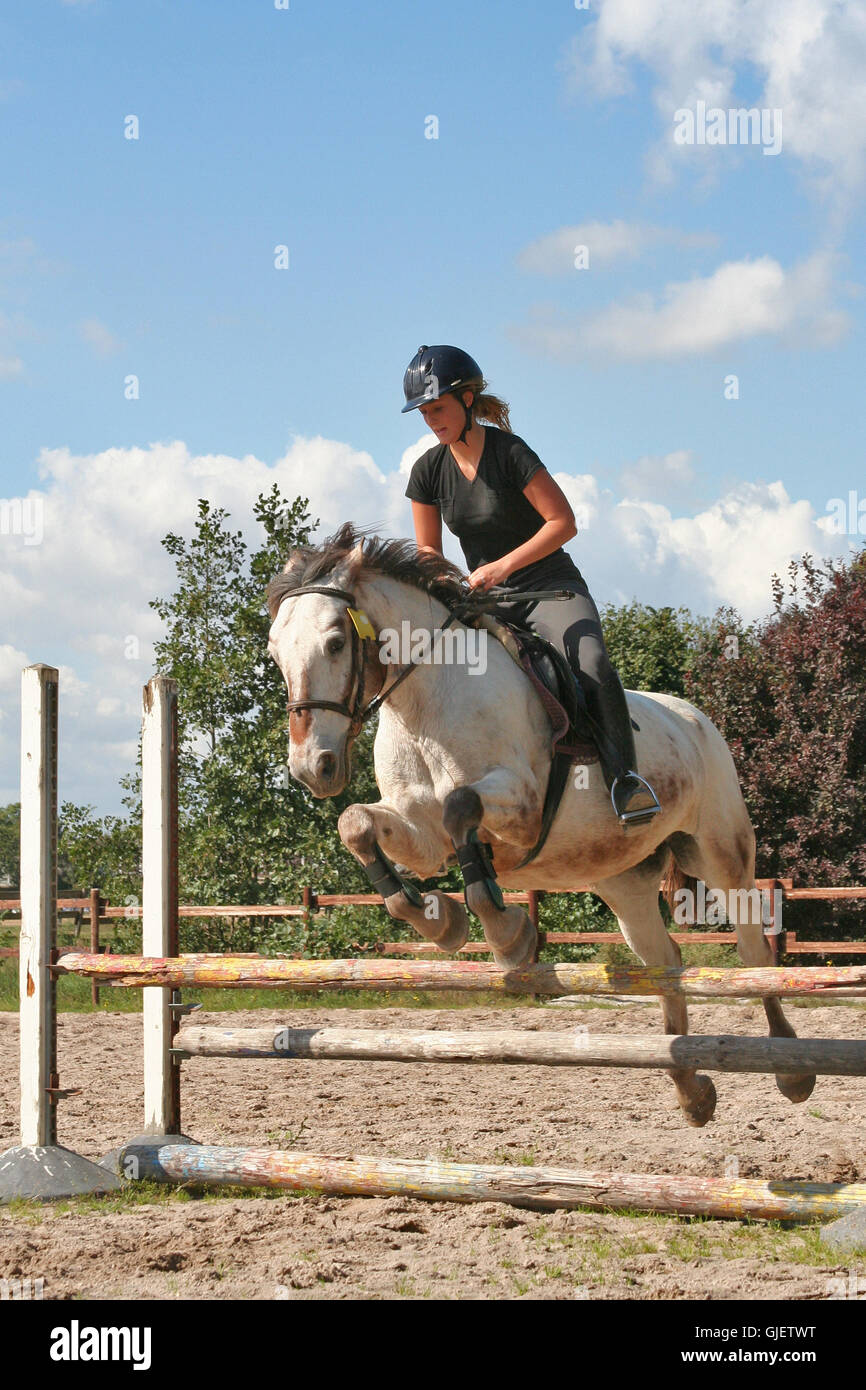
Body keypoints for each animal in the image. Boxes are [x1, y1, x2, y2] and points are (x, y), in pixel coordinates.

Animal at [266, 523, 816, 1127]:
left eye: (336, 642)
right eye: (274, 652)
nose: (311, 768)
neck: (425, 704)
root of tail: (696, 718)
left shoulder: (523, 809)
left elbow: (461, 808)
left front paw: (508, 935)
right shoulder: (422, 836)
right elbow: (357, 824)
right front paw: (442, 922)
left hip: (721, 854)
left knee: (754, 952)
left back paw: (792, 1070)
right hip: (621, 882)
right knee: (665, 962)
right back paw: (692, 1091)